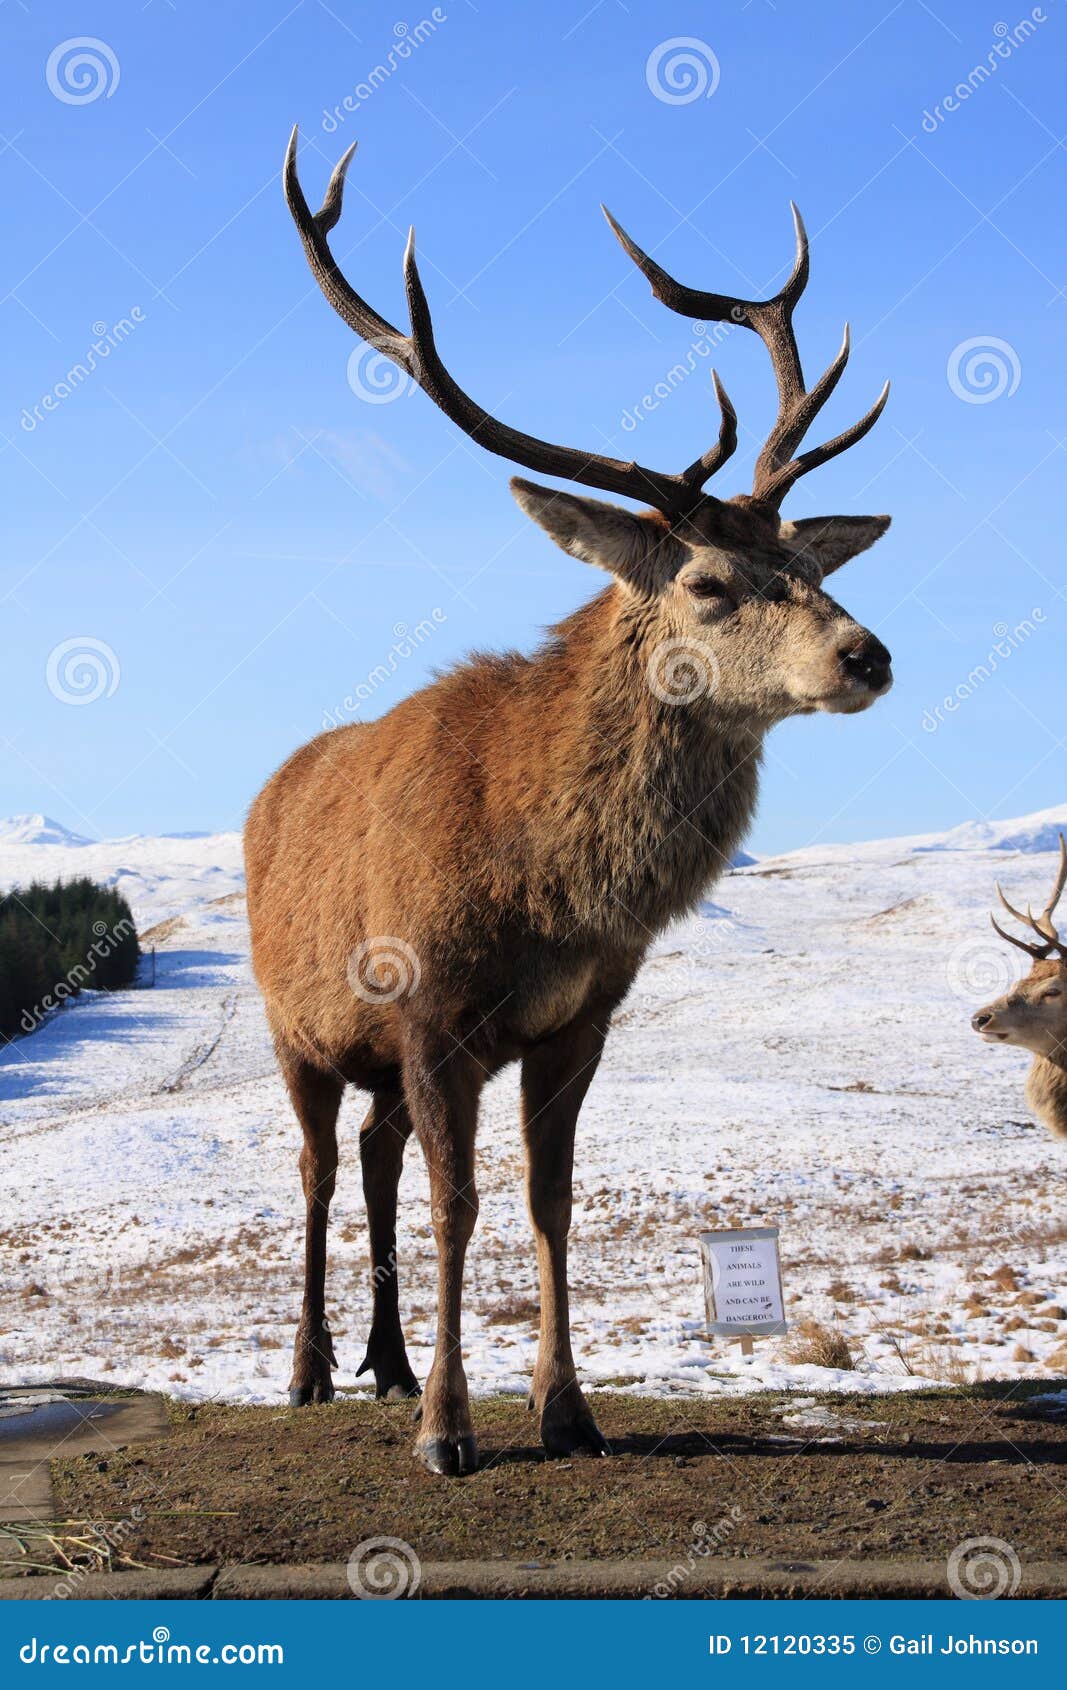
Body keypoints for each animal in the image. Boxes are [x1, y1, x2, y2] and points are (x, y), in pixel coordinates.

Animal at [243, 129, 895, 1477]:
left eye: (806, 564)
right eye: (707, 582)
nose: (864, 654)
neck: (544, 888)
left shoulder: (580, 1019)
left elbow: (549, 1198)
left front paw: (564, 1408)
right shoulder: (428, 1007)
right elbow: (459, 1201)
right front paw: (448, 1431)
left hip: (375, 1061)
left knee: (374, 1159)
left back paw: (386, 1364)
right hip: (299, 1029)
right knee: (321, 1170)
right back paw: (314, 1371)